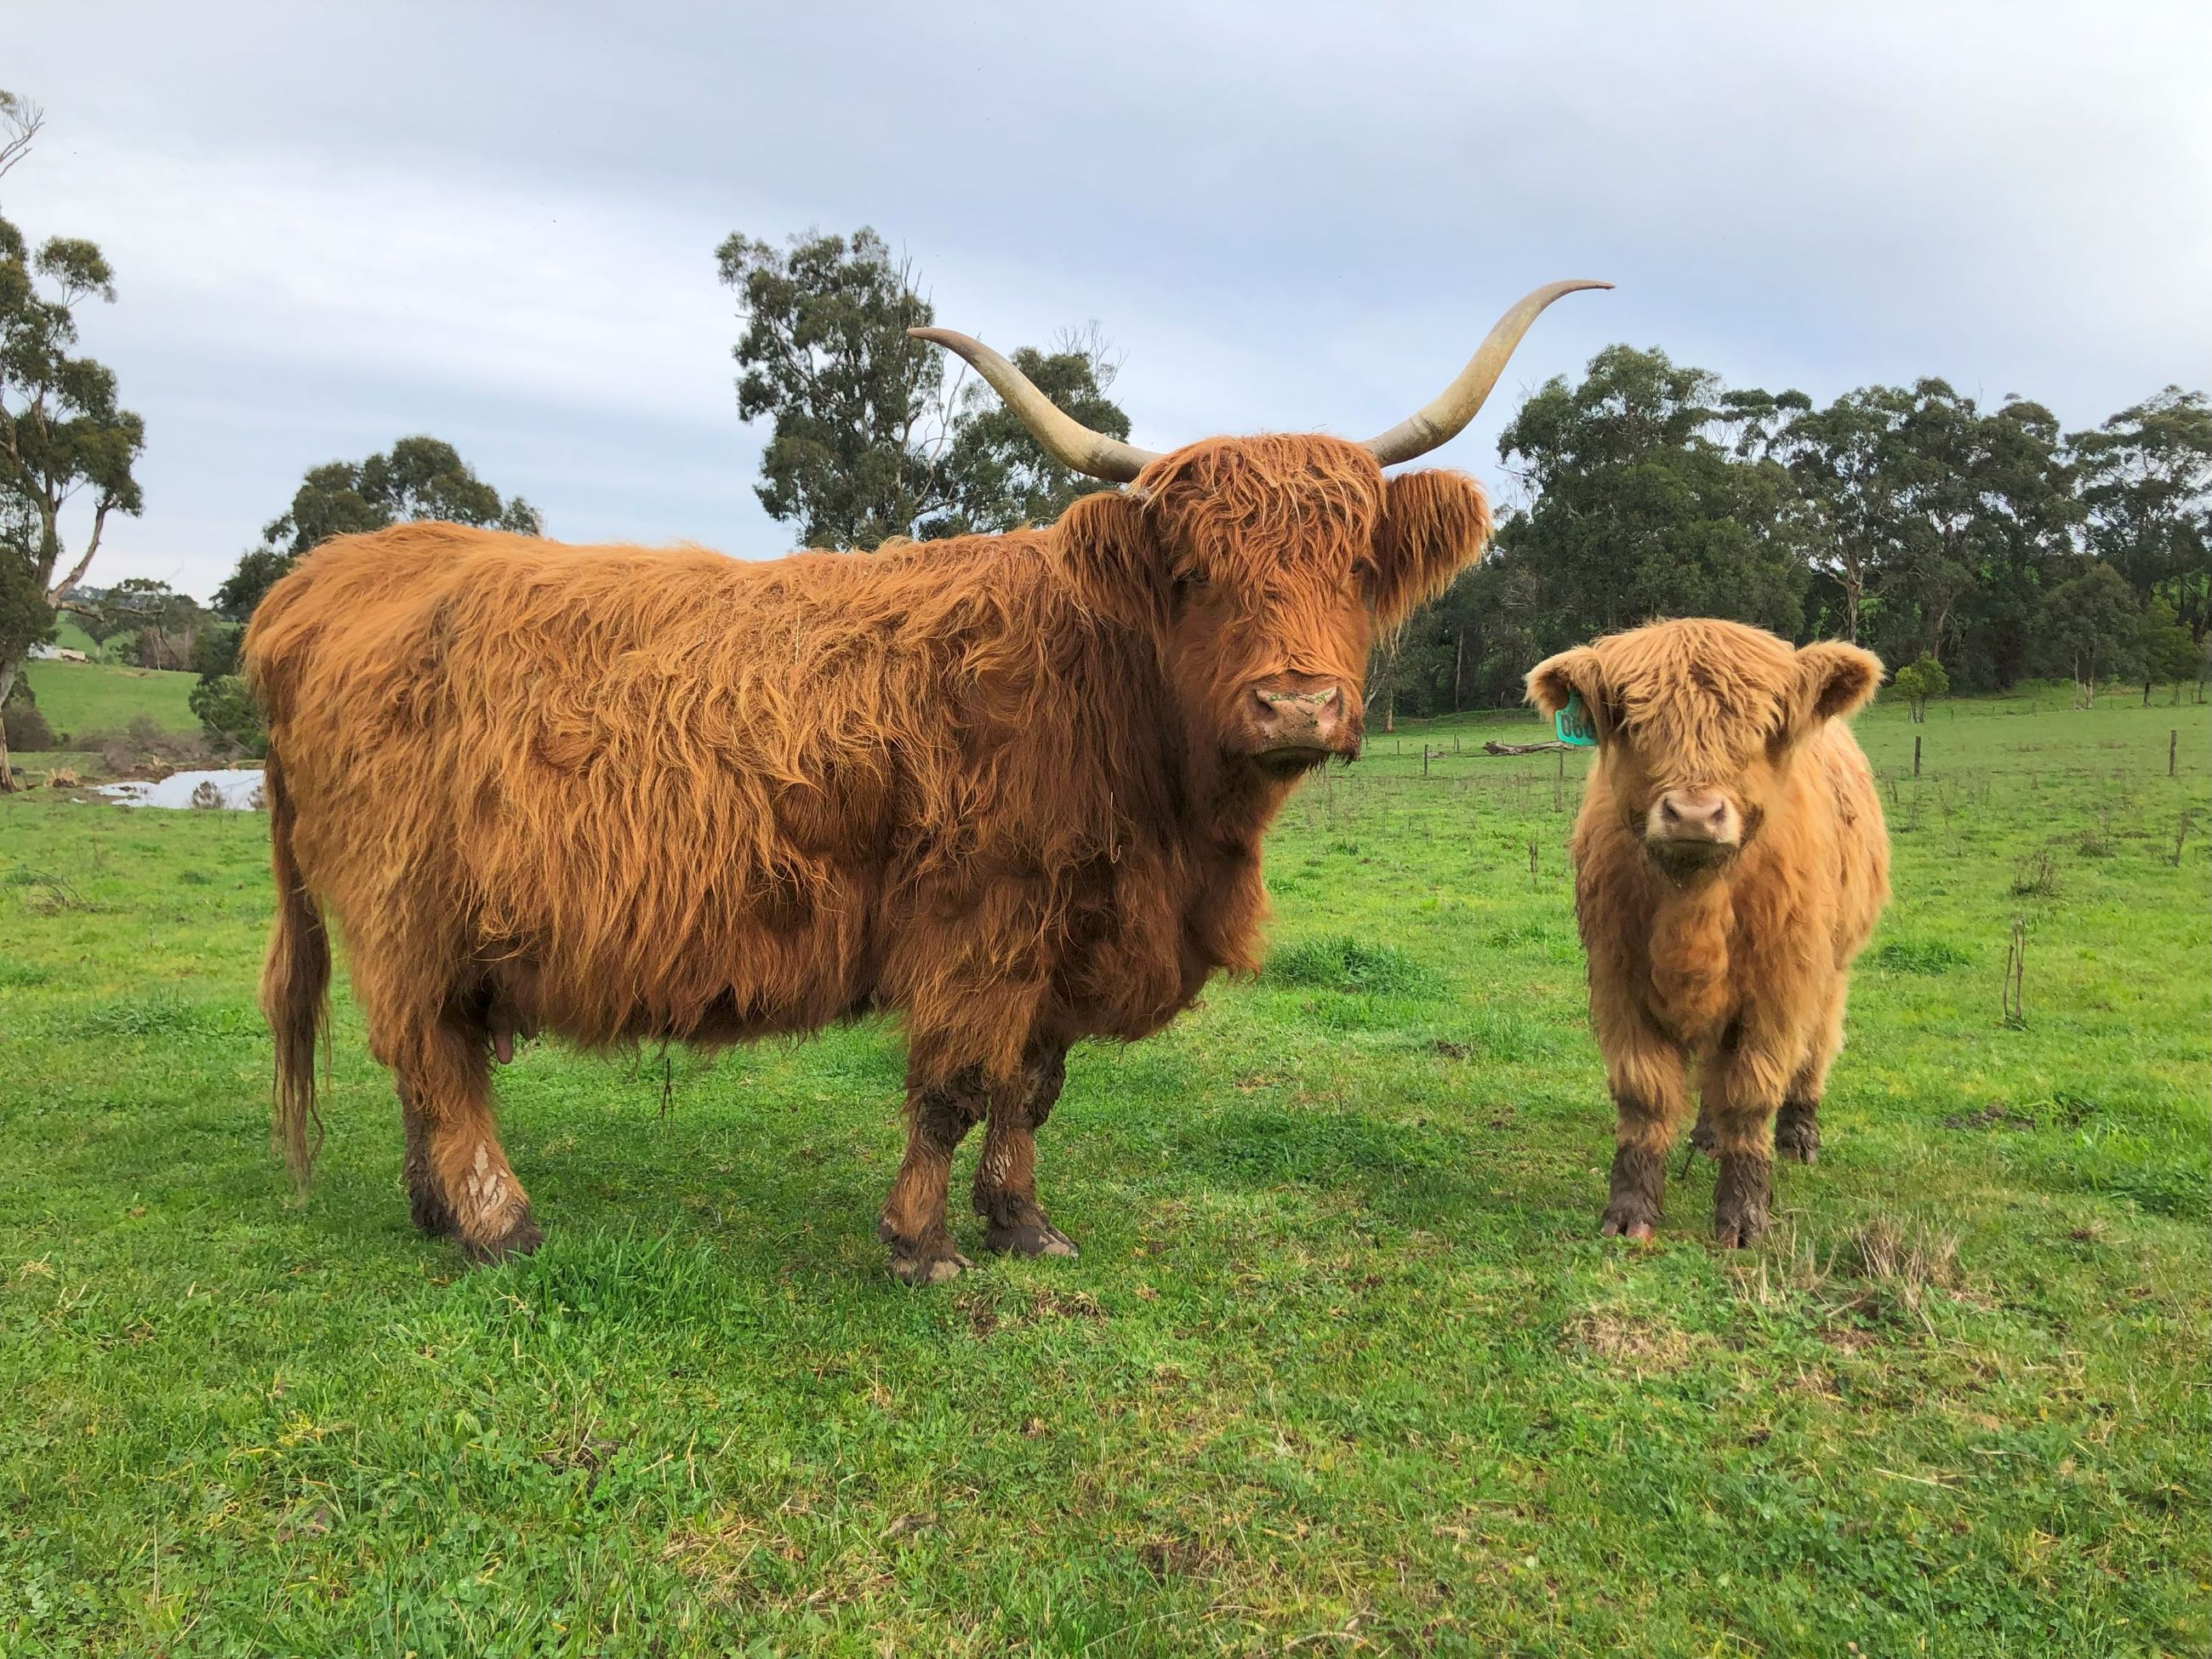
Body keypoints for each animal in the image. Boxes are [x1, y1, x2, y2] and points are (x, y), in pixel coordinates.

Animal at [246, 280, 1608, 1282]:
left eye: (1353, 566)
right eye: (1194, 572)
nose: (1297, 703)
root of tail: (331, 573)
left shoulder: (1067, 933)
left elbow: (1031, 1091)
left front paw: (1024, 1224)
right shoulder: (979, 923)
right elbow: (951, 1089)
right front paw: (921, 1247)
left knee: (430, 1064)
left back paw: (438, 1214)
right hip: (407, 910)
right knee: (435, 1062)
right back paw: (500, 1225)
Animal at [1525, 618, 1890, 1247]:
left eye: (1766, 726)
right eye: (1632, 721)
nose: (1694, 815)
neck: (1693, 902)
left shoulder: (1778, 990)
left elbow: (1750, 1094)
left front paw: (1743, 1217)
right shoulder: (1618, 979)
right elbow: (1644, 1095)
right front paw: (1631, 1211)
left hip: (1833, 965)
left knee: (1816, 1045)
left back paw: (1799, 1134)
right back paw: (1707, 1135)